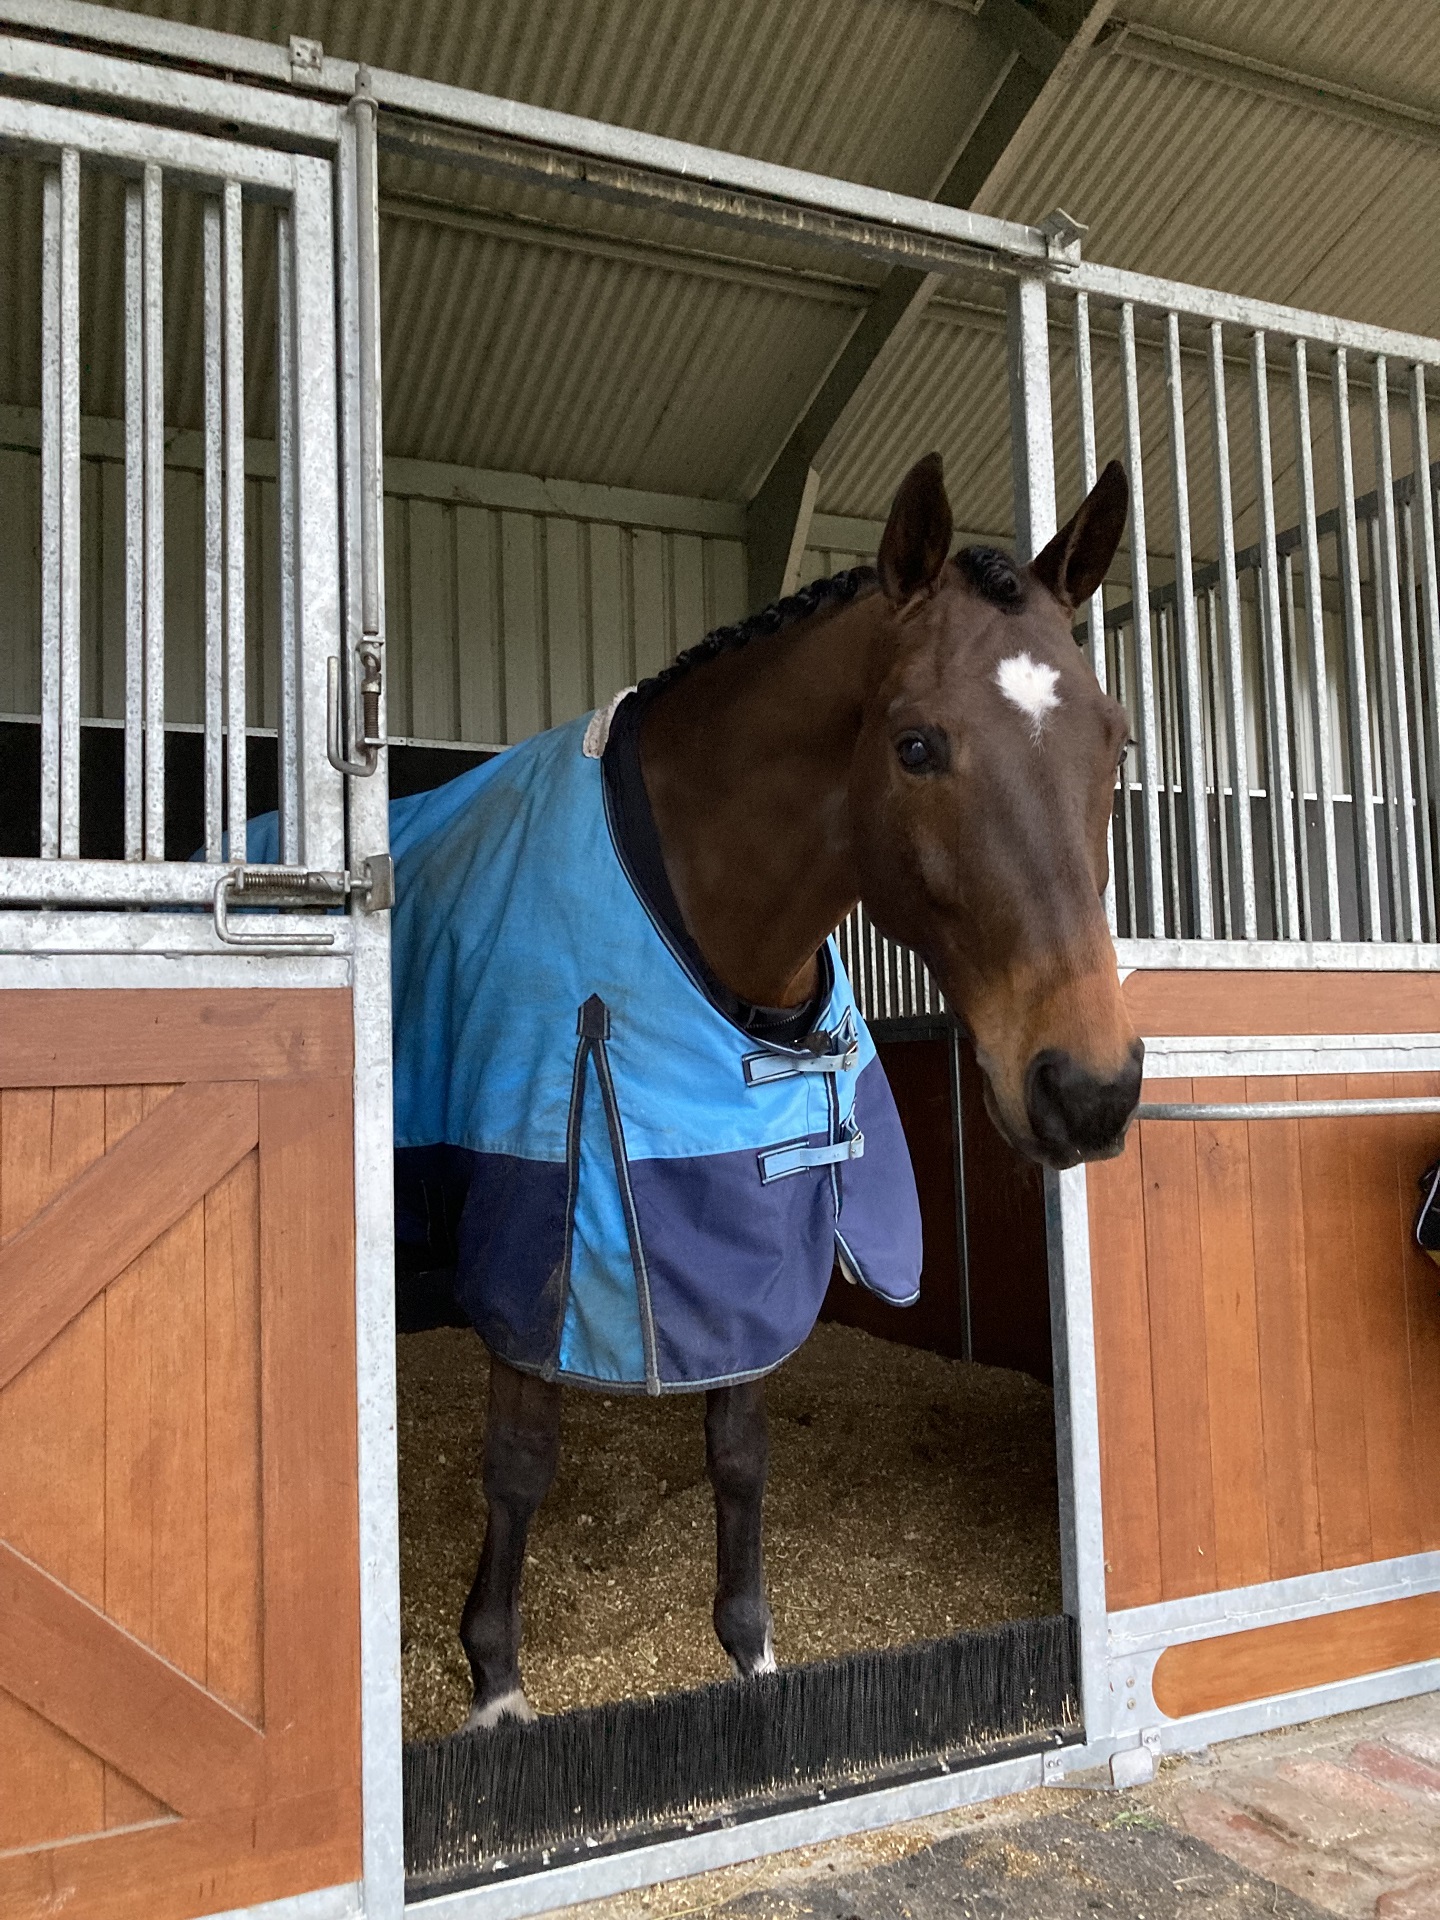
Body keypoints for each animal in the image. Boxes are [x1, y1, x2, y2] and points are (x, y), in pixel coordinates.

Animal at [379, 448, 1143, 1731]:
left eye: (1116, 744)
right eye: (917, 746)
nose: (1090, 1088)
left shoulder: (742, 1215)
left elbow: (738, 1447)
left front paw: (750, 1654)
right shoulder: (530, 1223)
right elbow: (520, 1460)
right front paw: (495, 1682)